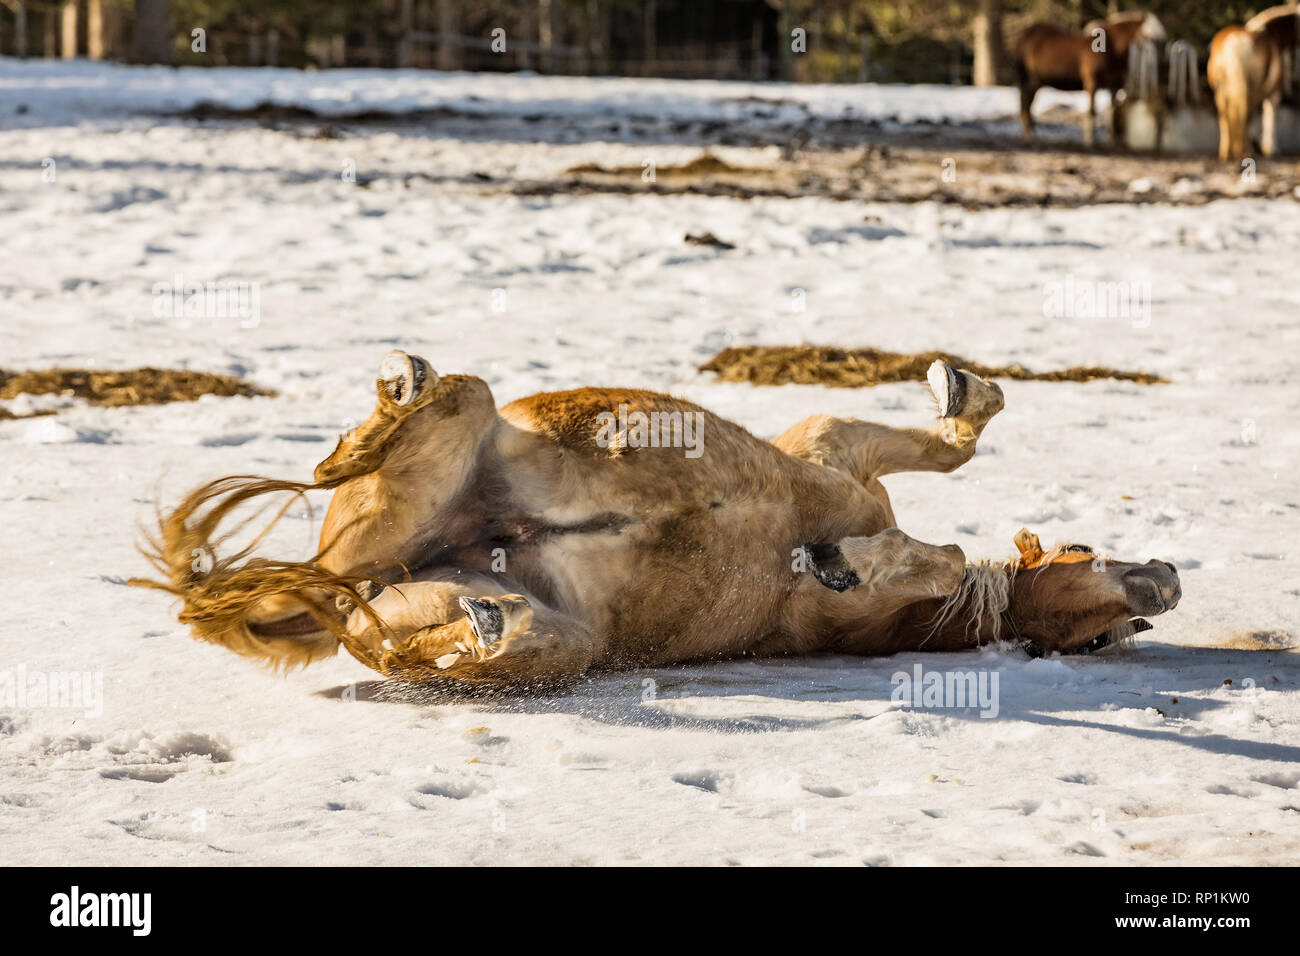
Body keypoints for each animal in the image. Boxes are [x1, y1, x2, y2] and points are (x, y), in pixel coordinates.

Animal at [133, 352, 1181, 690]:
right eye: (1091, 552)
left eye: (1110, 634)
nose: (1165, 582)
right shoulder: (830, 448)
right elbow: (954, 462)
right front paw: (960, 388)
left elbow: (941, 553)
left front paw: (849, 560)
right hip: (415, 485)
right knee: (398, 429)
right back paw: (396, 395)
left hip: (521, 631)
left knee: (428, 642)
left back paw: (487, 626)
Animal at [1012, 11, 1167, 146]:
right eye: (1148, 38)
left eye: (1159, 41)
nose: (1158, 65)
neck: (1110, 49)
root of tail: (1023, 34)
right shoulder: (1092, 83)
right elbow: (1092, 111)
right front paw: (1090, 141)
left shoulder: (1114, 86)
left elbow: (1112, 112)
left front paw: (1112, 141)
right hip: (1025, 77)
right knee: (1025, 103)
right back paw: (1029, 135)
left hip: (1035, 81)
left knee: (1028, 103)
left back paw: (1031, 133)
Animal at [1207, 4, 1300, 161]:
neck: (1272, 34)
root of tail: (1235, 43)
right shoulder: (1274, 93)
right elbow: (1270, 116)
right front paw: (1271, 149)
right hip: (1251, 88)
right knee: (1247, 115)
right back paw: (1246, 151)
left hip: (1221, 91)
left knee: (1224, 116)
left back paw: (1227, 153)